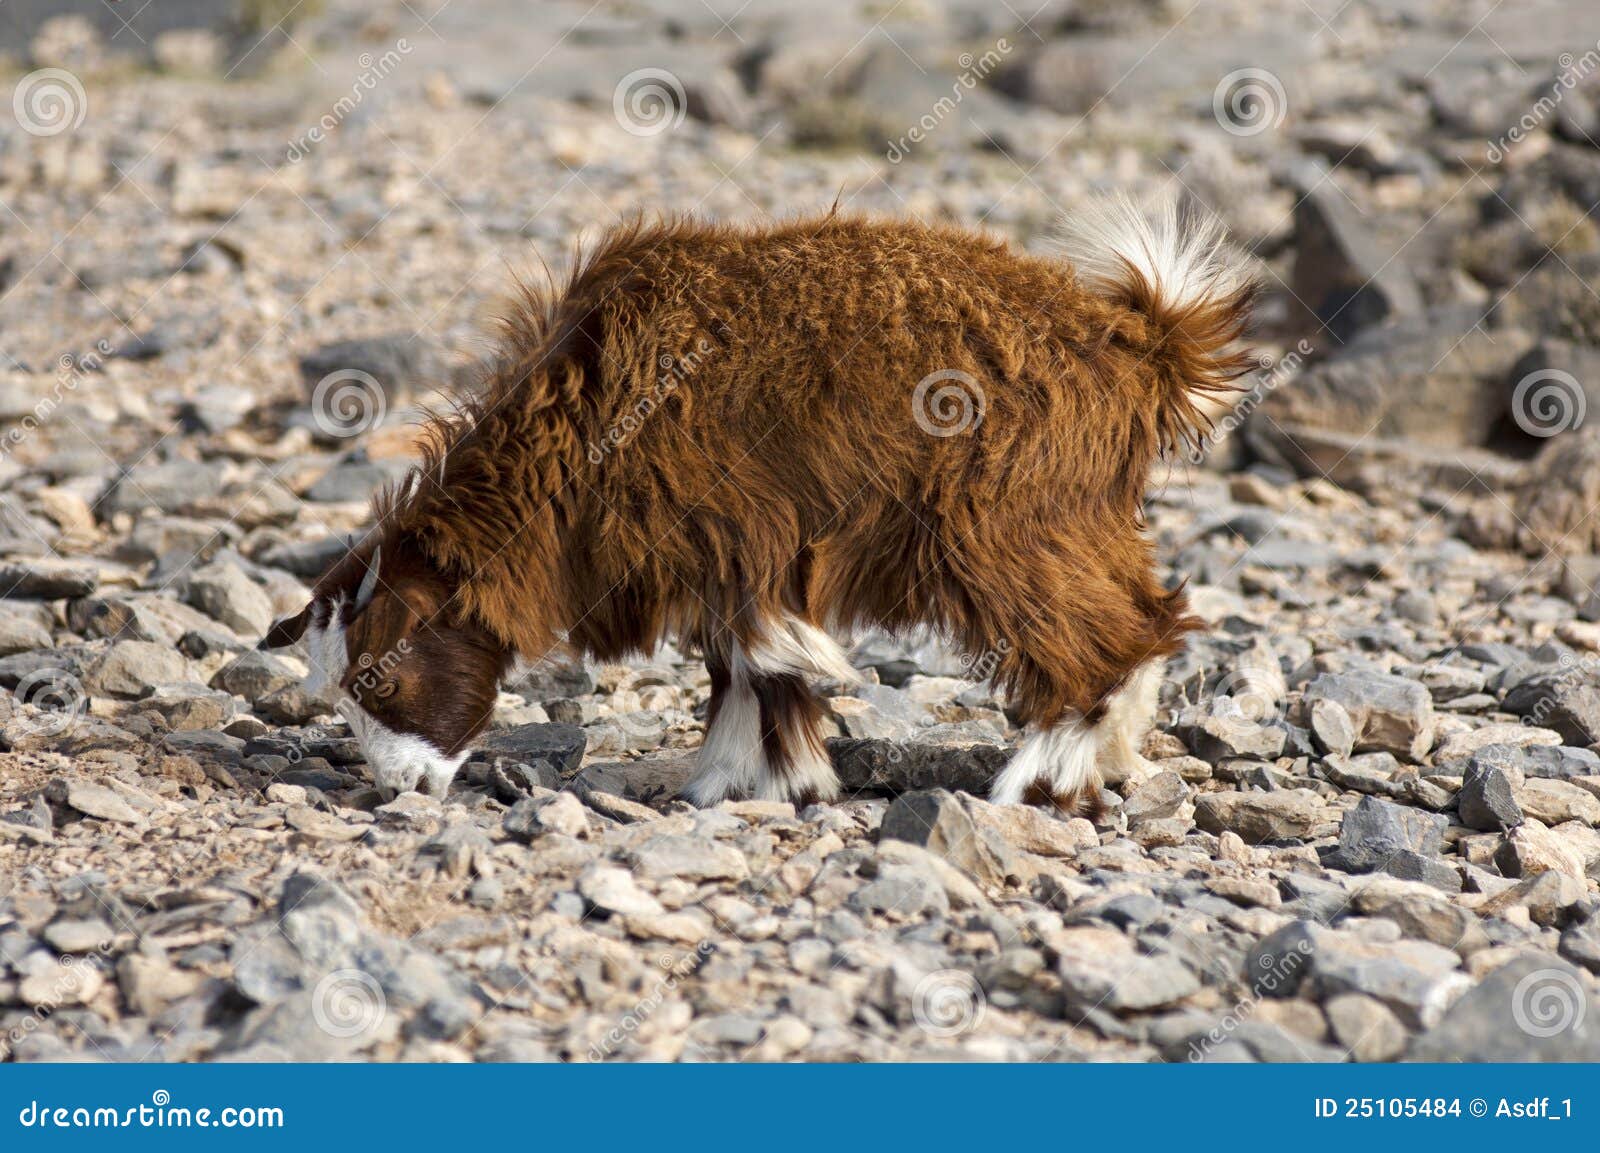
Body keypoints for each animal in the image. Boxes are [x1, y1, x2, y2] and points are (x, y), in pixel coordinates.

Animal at [262, 197, 1256, 811]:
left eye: (376, 676)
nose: (397, 789)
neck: (581, 430)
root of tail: (1136, 346)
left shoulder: (743, 533)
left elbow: (759, 656)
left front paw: (764, 781)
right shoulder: (739, 557)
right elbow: (744, 668)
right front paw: (741, 783)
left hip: (1002, 518)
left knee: (1098, 633)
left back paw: (1033, 778)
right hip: (1076, 514)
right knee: (1151, 616)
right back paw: (1110, 757)